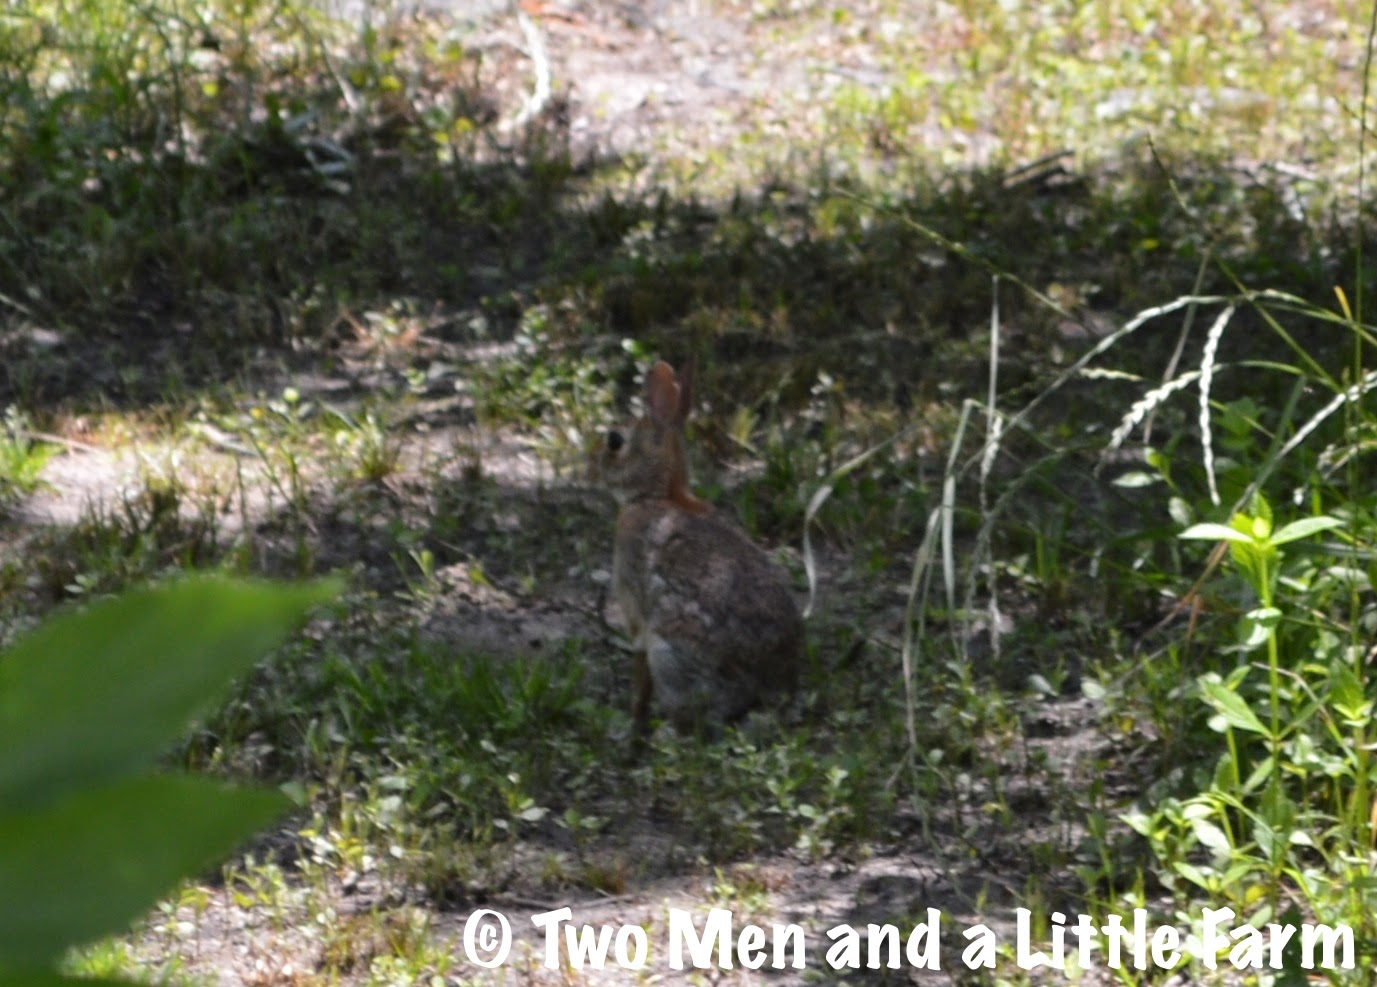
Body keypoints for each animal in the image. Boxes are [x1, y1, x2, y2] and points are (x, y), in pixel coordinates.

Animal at [599, 359, 803, 739]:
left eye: (615, 441)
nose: (595, 465)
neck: (657, 495)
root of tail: (769, 690)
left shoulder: (636, 613)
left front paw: (632, 724)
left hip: (669, 654)